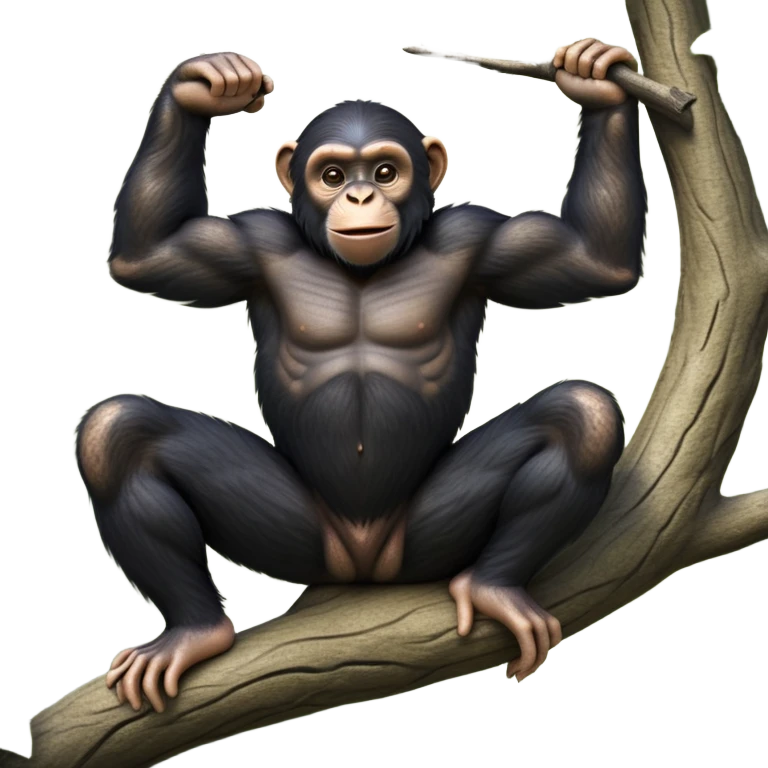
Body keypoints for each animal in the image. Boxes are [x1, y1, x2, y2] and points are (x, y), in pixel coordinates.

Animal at [77, 38, 647, 713]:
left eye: (383, 173)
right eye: (331, 176)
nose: (357, 199)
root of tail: (361, 566)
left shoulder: (486, 238)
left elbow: (593, 260)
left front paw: (594, 76)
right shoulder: (243, 243)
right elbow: (150, 256)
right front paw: (203, 83)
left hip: (425, 541)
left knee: (584, 417)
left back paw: (494, 586)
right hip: (296, 538)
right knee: (116, 433)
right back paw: (196, 630)